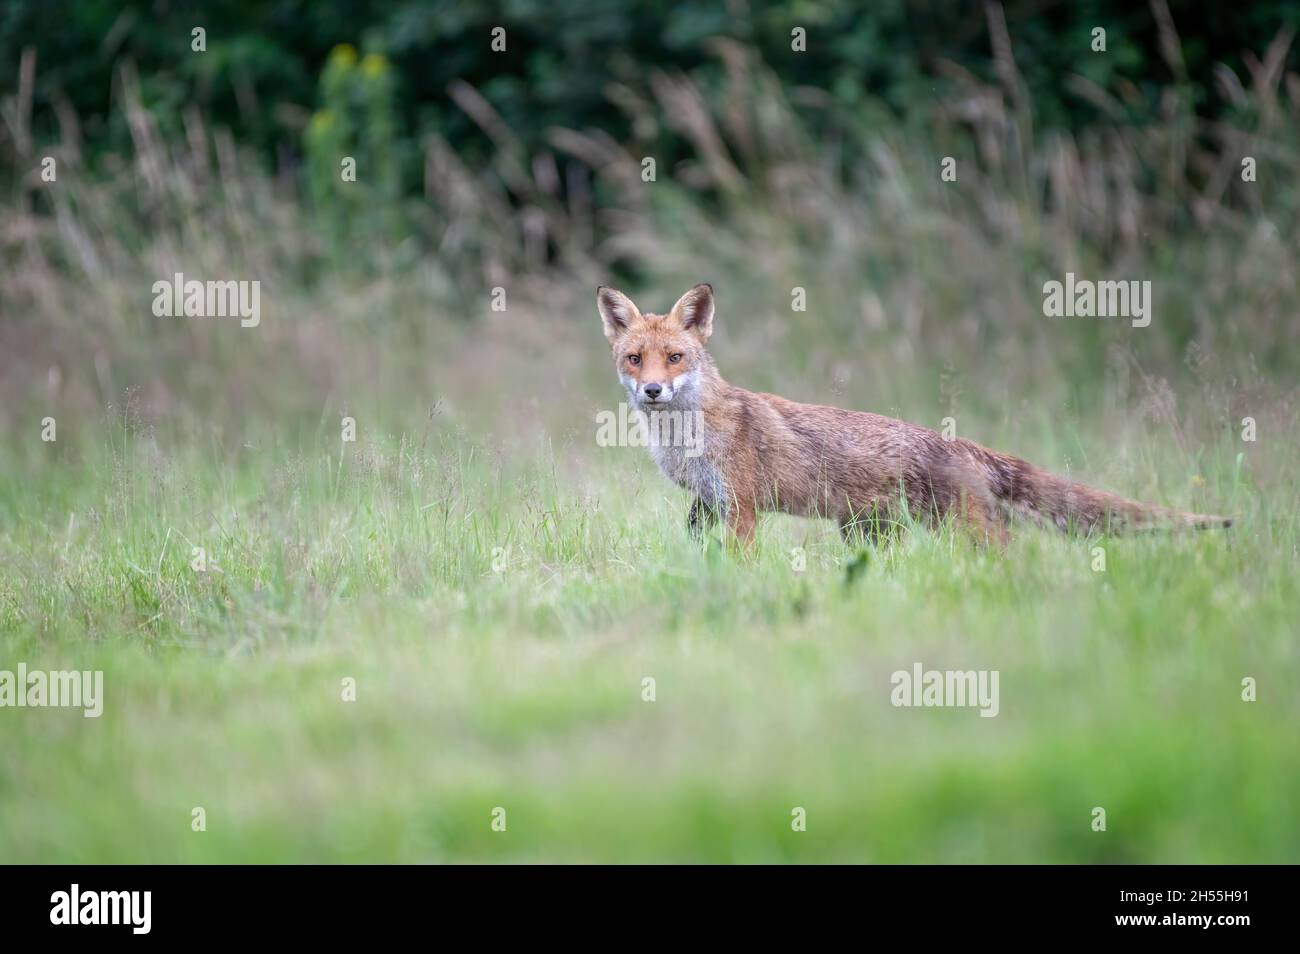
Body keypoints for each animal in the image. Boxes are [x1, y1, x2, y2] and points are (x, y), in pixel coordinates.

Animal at [597, 282, 1232, 547]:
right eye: (634, 358)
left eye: (675, 357)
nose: (652, 390)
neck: (686, 435)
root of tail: (960, 443)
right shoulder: (706, 503)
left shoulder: (743, 507)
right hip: (875, 531)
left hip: (966, 532)